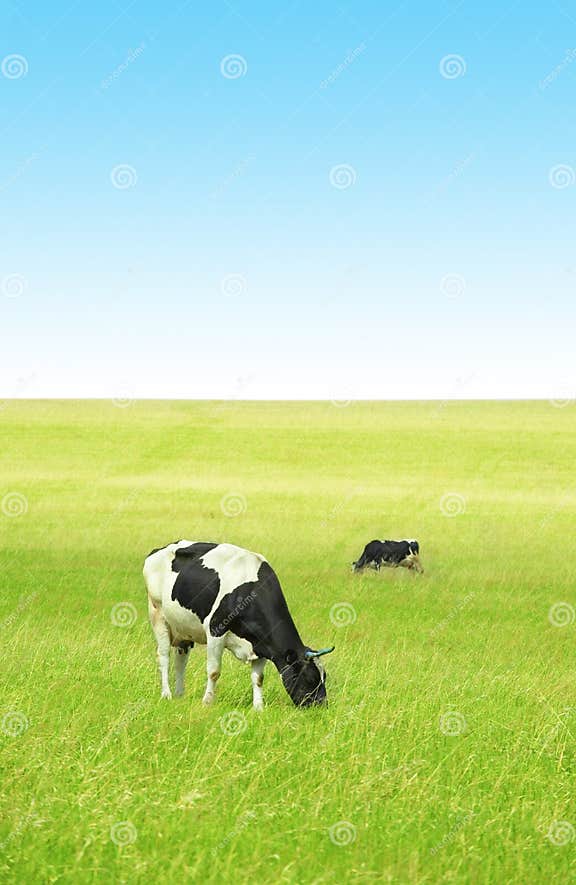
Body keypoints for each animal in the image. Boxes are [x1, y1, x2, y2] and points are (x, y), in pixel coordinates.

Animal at [143, 540, 334, 710]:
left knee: (180, 660)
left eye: (325, 676)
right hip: (158, 615)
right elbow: (214, 671)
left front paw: (258, 707)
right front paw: (207, 702)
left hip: (183, 628)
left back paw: (180, 694)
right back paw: (166, 694)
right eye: (310, 678)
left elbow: (258, 678)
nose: (321, 706)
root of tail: (158, 550)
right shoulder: (216, 630)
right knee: (164, 657)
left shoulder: (261, 643)